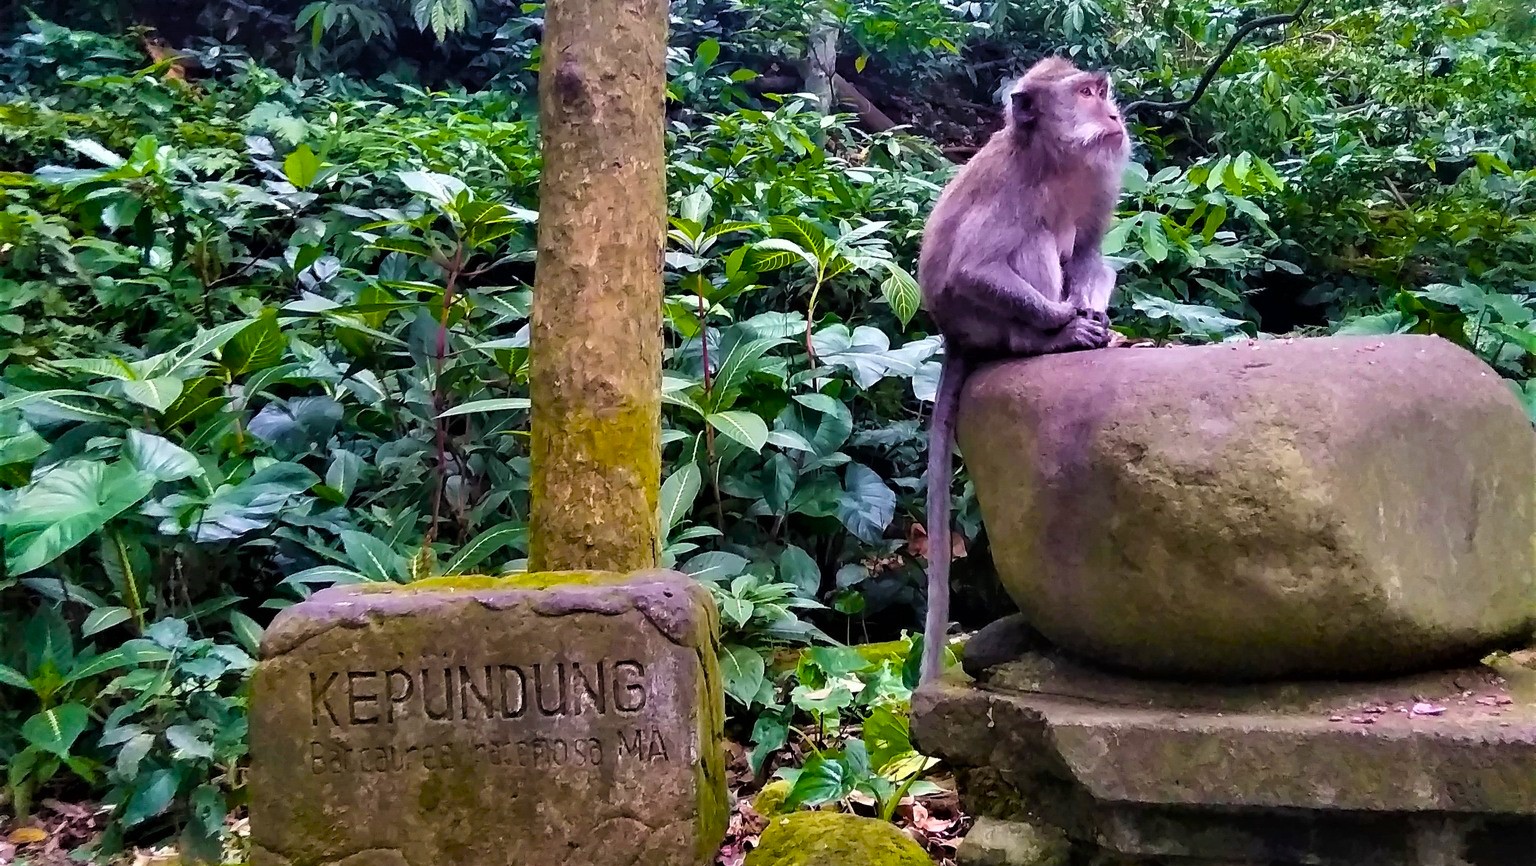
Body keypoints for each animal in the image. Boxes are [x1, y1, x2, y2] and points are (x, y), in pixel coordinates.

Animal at [916, 56, 1131, 683]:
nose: (1115, 116)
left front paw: (1094, 315)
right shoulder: (1014, 190)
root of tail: (954, 335)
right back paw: (1043, 341)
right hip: (981, 322)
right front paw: (1067, 322)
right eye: (1086, 94)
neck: (1055, 161)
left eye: (1102, 91)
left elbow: (1089, 256)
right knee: (1032, 242)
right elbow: (971, 268)